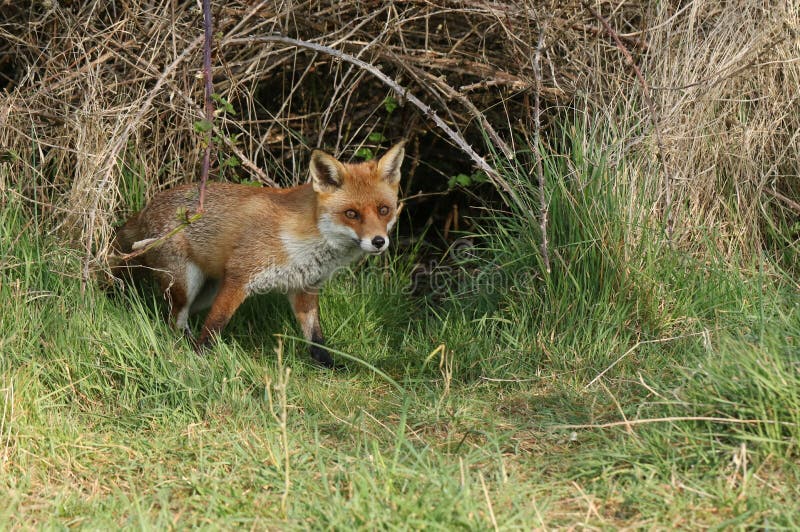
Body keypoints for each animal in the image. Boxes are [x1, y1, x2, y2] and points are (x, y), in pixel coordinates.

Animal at [113, 142, 405, 368]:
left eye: (384, 210)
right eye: (351, 214)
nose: (379, 242)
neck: (305, 241)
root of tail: (147, 207)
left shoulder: (304, 288)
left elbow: (316, 338)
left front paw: (329, 366)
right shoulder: (239, 277)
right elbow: (215, 325)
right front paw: (199, 358)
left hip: (206, 292)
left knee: (172, 317)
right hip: (187, 284)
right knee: (175, 319)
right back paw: (184, 345)